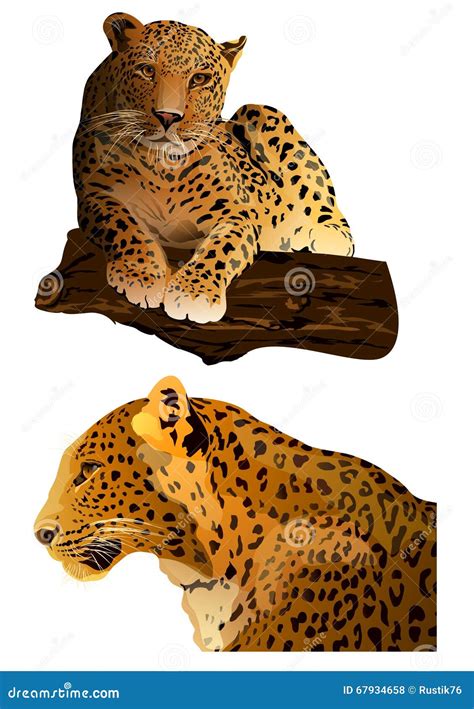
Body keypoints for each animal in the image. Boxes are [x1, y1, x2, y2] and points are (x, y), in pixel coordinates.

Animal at [73, 12, 354, 323]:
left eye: (199, 79)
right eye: (147, 70)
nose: (168, 116)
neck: (162, 168)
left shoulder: (236, 214)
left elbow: (222, 247)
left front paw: (194, 294)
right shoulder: (96, 194)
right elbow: (123, 225)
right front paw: (141, 276)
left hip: (258, 112)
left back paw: (323, 237)